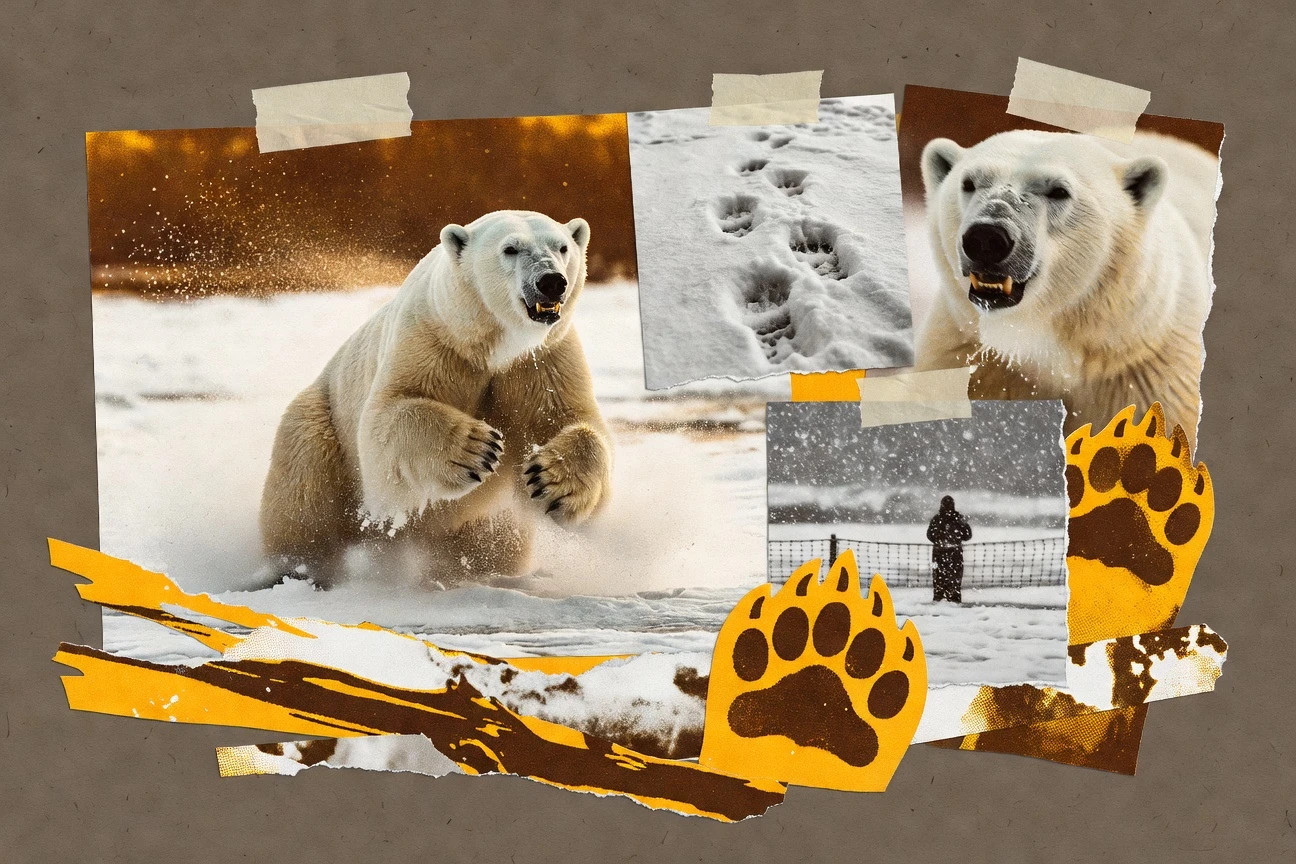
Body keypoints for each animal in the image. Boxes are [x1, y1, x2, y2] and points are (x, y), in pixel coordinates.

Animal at [258, 210, 613, 587]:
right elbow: (385, 417)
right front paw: (478, 449)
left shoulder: (544, 360)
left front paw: (552, 483)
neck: (490, 344)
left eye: (562, 247)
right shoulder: (429, 340)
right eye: (510, 249)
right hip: (323, 421)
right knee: (304, 490)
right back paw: (294, 570)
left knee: (488, 541)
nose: (551, 281)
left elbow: (573, 421)